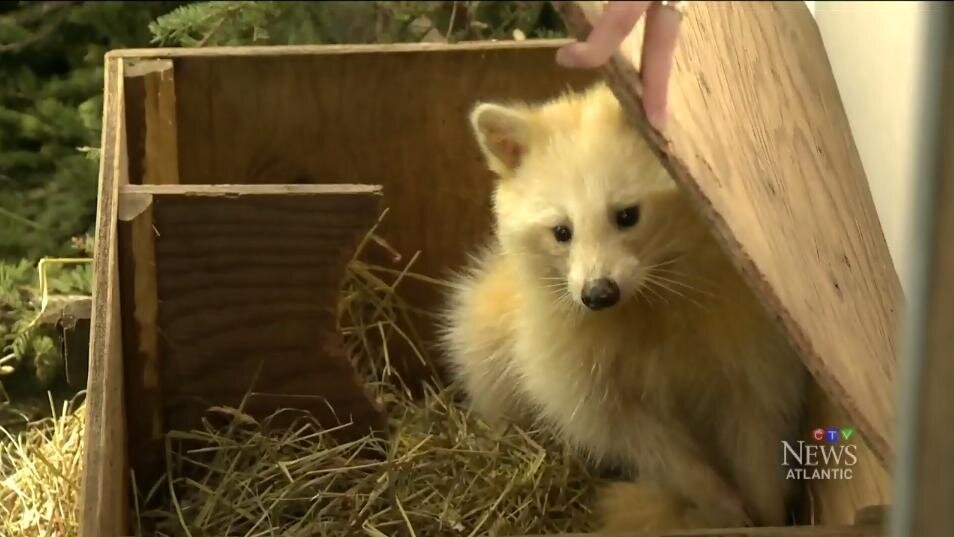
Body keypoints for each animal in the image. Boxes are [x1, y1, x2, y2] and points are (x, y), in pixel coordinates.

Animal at [438, 82, 809, 532]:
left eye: (627, 216)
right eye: (561, 232)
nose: (599, 294)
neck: (643, 298)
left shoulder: (745, 327)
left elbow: (757, 419)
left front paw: (766, 509)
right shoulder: (573, 360)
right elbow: (636, 436)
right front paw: (714, 497)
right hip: (486, 332)